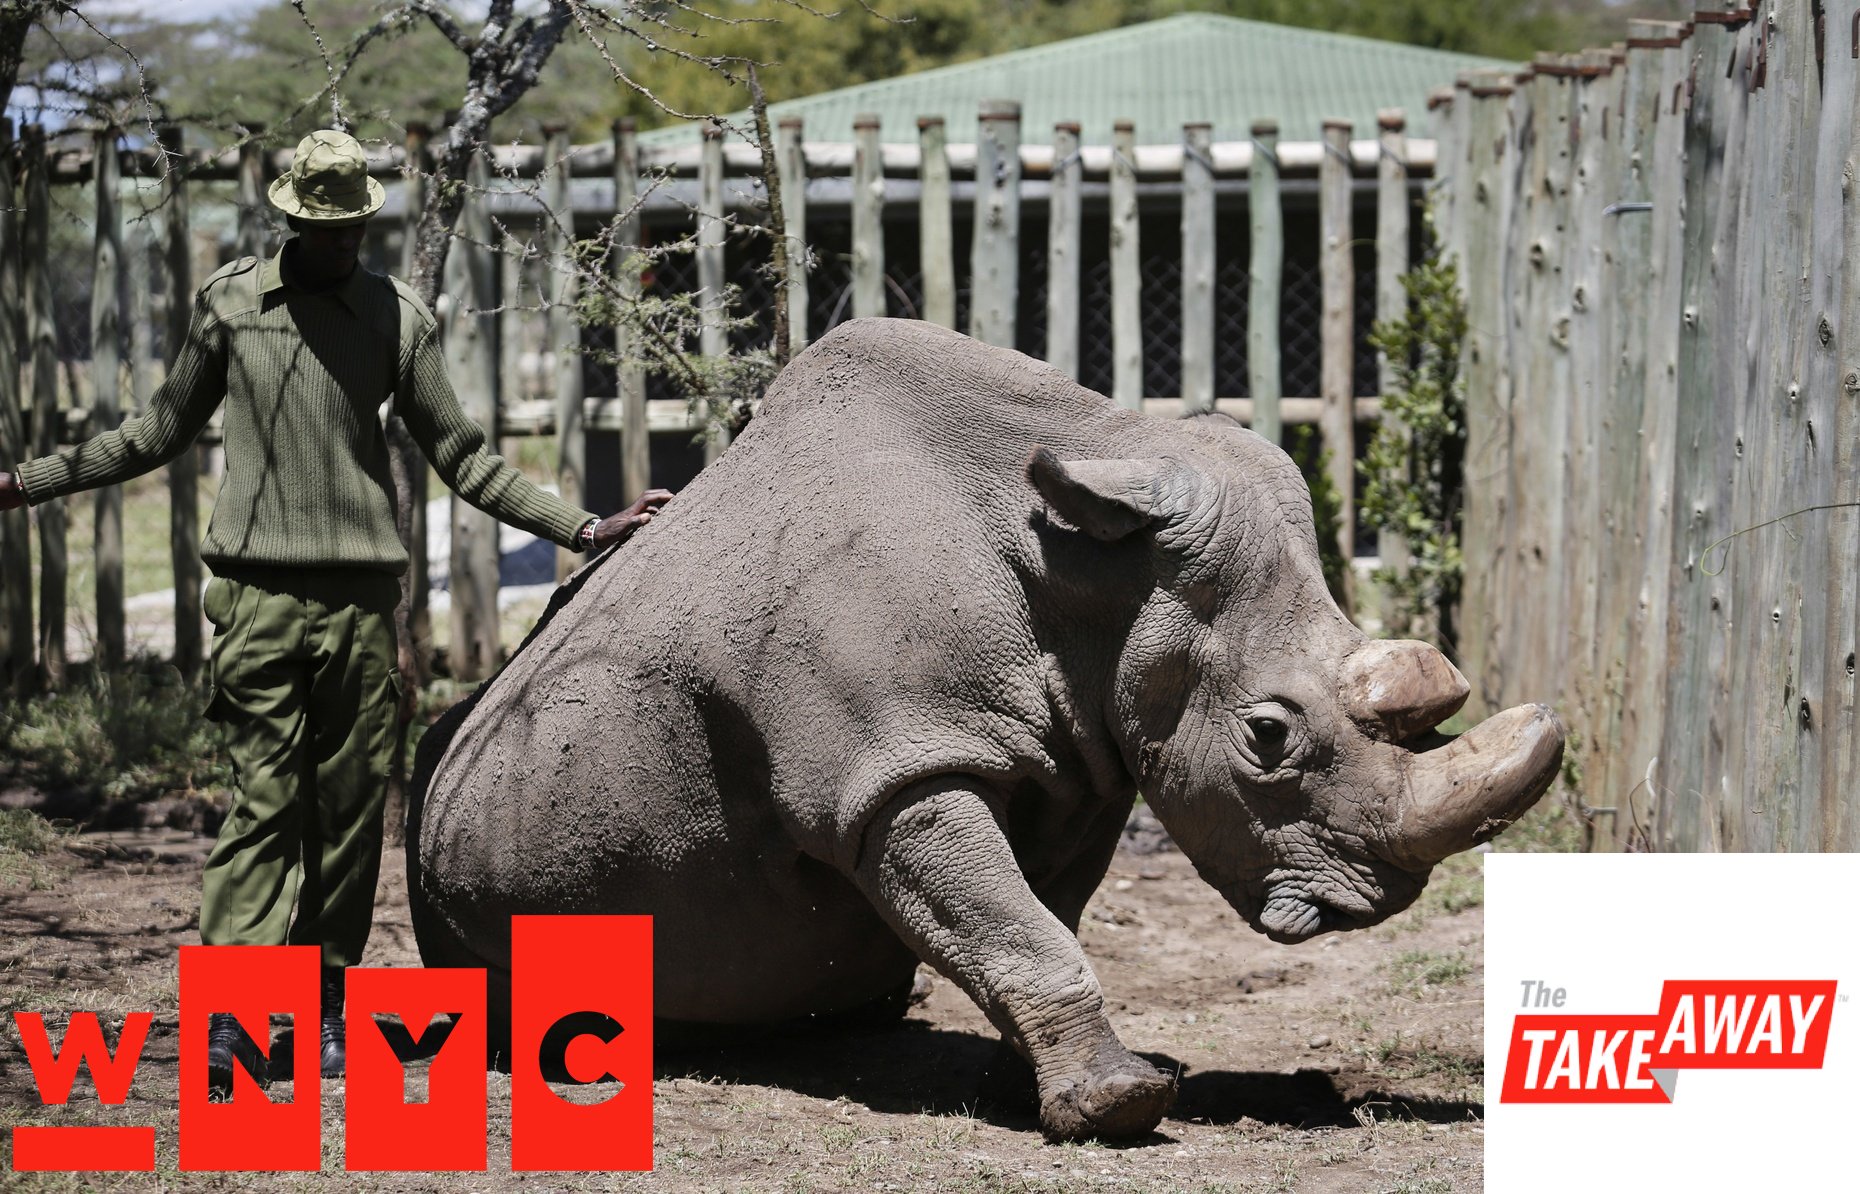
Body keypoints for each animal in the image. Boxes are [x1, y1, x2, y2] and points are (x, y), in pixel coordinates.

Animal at [408, 318, 1563, 1140]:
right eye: (1269, 735)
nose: (1374, 903)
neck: (1089, 571)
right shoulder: (892, 773)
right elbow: (1009, 917)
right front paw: (1119, 1110)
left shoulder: (1085, 755)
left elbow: (1034, 915)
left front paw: (1053, 1085)